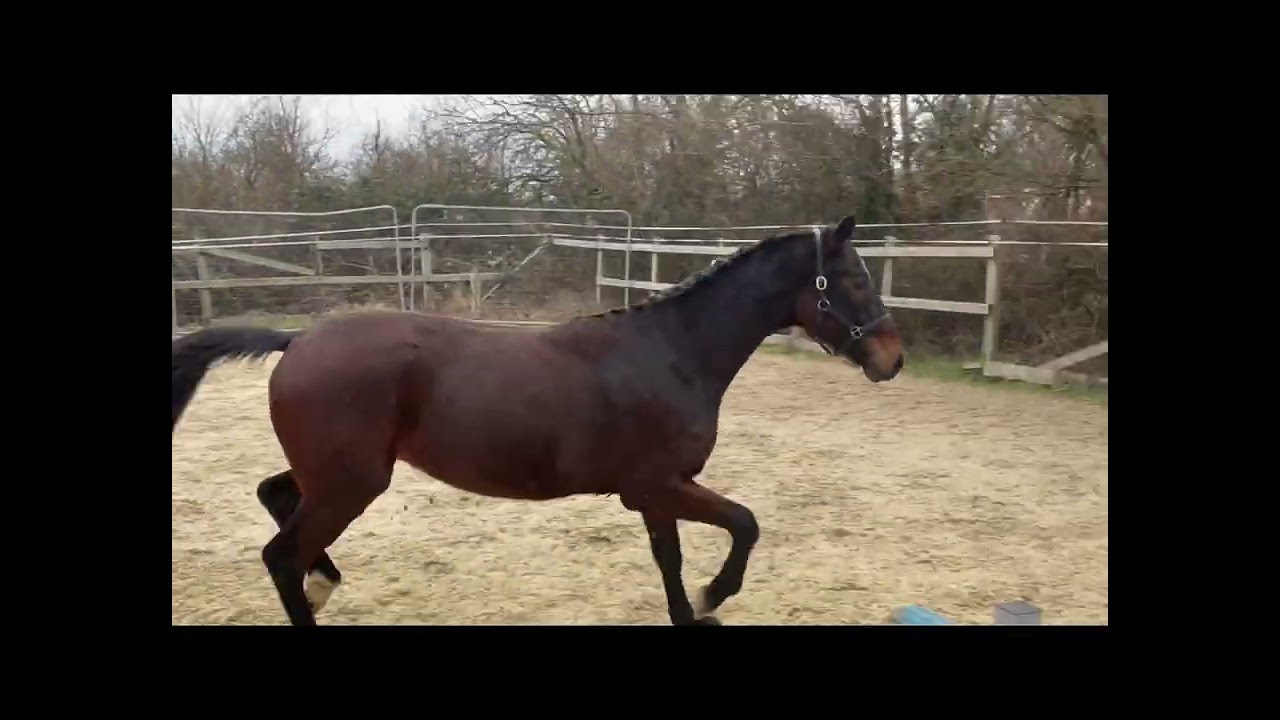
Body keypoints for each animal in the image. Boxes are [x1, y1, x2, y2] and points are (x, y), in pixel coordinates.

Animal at [171, 214, 905, 626]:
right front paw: (711, 597)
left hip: (337, 475)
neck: (672, 353)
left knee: (275, 498)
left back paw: (326, 583)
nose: (892, 359)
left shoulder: (655, 493)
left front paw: (690, 613)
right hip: (353, 483)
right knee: (280, 555)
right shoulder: (658, 486)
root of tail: (297, 339)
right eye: (854, 280)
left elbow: (669, 558)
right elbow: (744, 525)